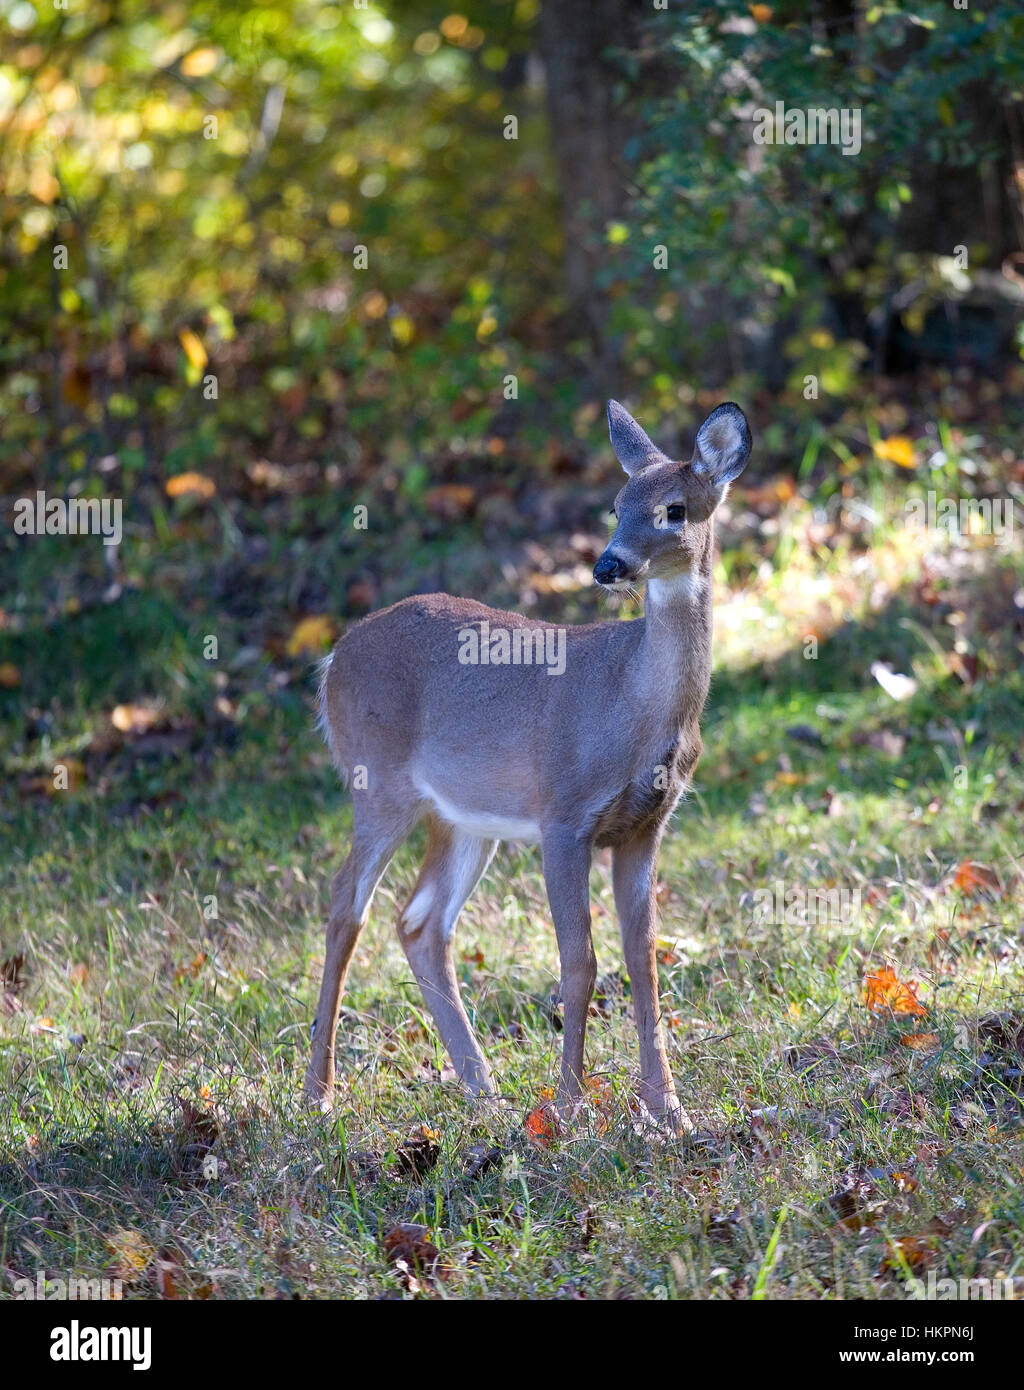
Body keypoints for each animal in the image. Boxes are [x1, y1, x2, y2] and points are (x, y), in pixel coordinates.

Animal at [305, 399, 752, 1134]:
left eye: (675, 509)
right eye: (615, 505)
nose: (607, 565)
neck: (634, 703)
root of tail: (332, 659)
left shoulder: (645, 826)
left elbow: (644, 961)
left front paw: (669, 1111)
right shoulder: (564, 815)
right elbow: (579, 962)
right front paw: (570, 1108)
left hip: (465, 820)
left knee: (421, 922)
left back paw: (484, 1092)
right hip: (377, 783)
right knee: (347, 907)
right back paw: (320, 1092)